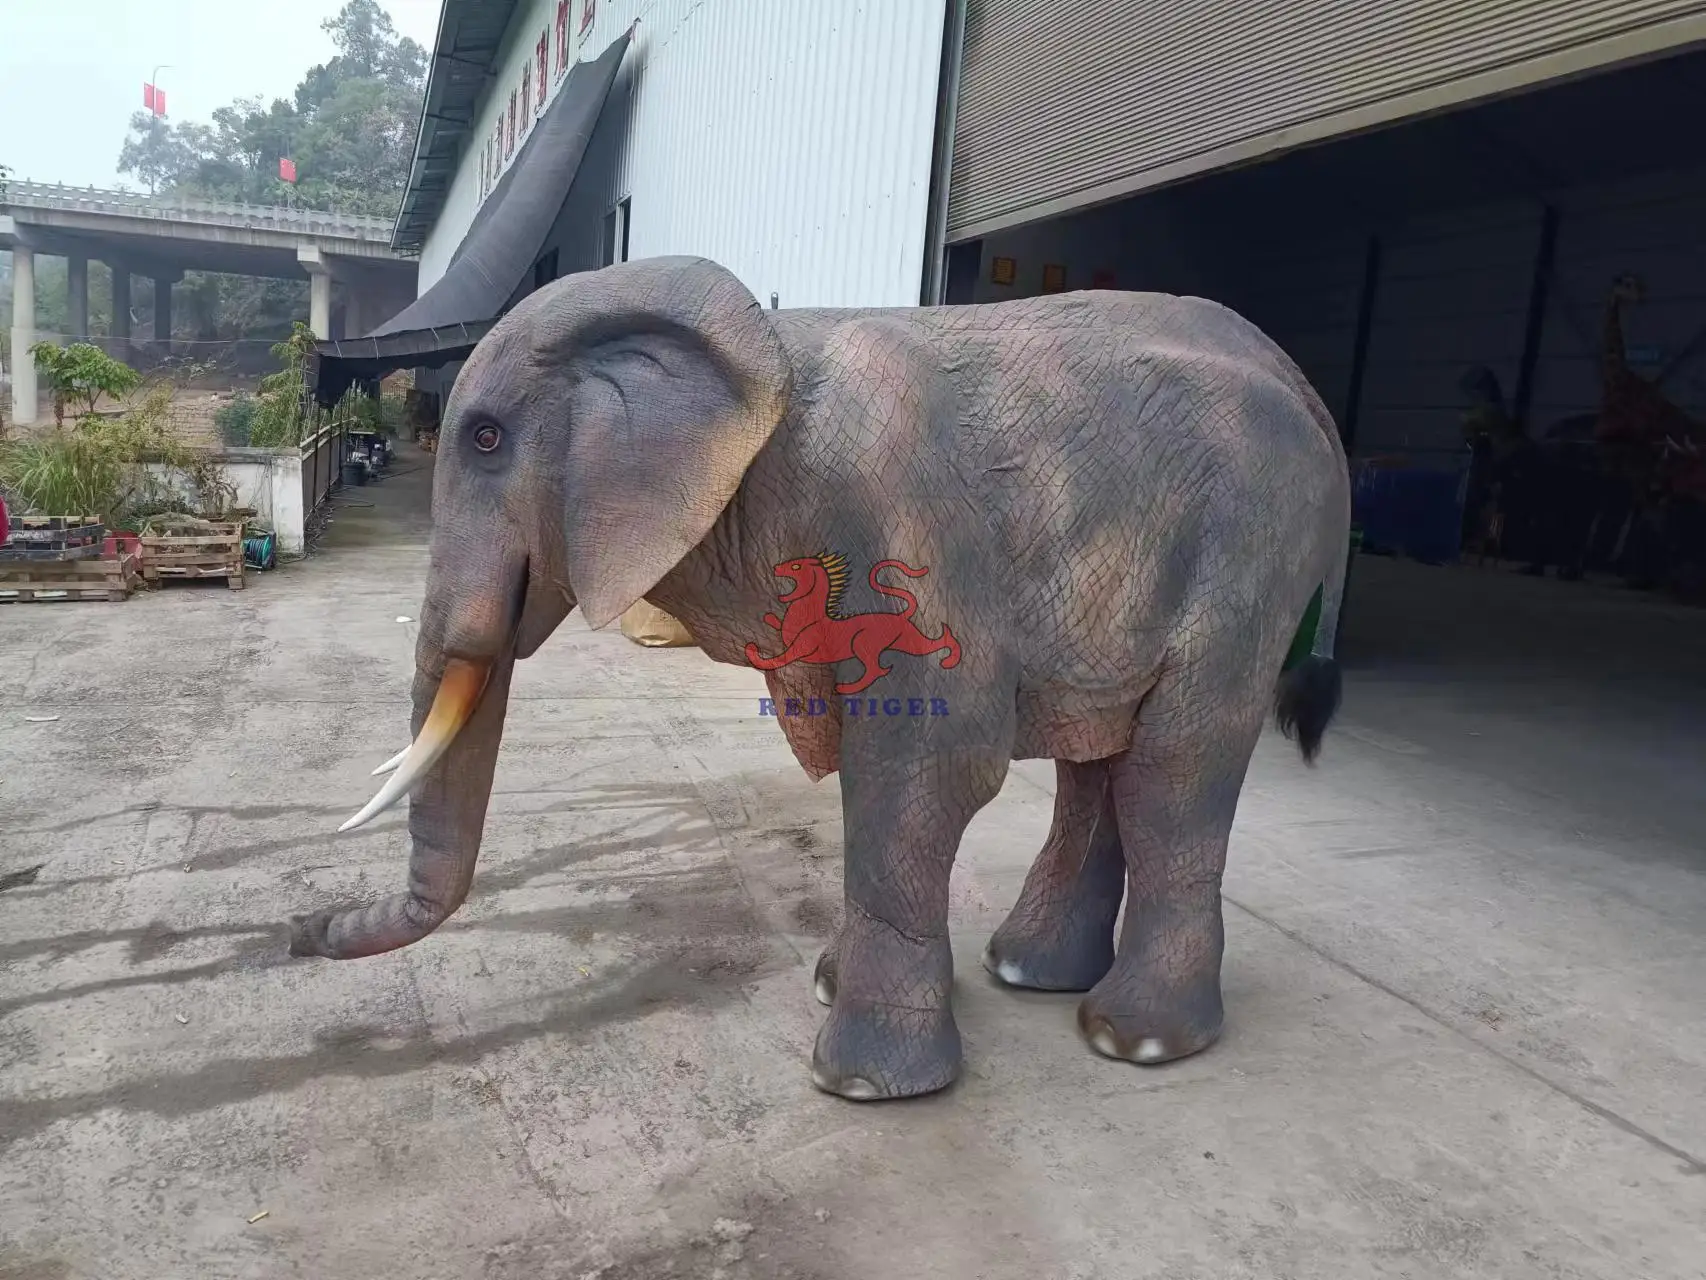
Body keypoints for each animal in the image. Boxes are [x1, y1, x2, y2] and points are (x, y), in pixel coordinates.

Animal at [289, 255, 1350, 1102]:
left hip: (1254, 547)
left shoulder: (908, 531)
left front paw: (863, 1082)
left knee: (1174, 764)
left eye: (485, 439)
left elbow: (928, 767)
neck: (758, 345)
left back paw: (1134, 1039)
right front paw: (833, 985)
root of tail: (1304, 385)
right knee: (1103, 759)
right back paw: (1029, 972)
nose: (302, 931)